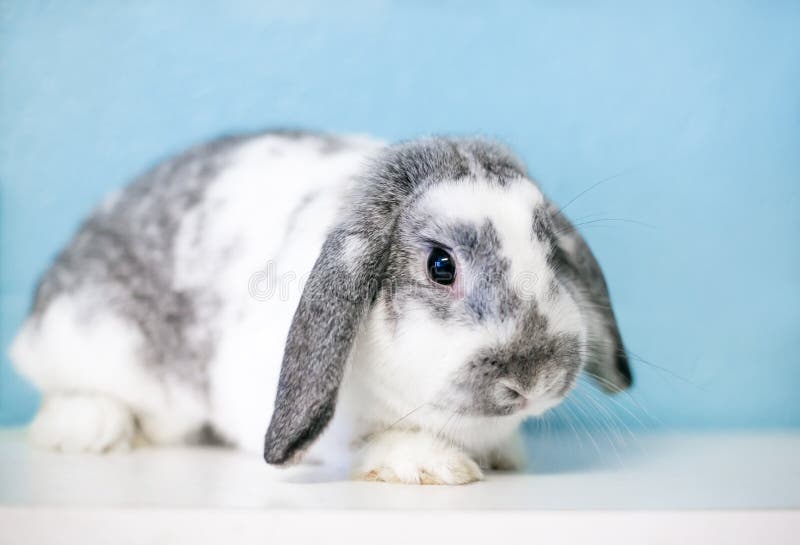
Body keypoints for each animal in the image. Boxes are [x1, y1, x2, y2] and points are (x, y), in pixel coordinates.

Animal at [9, 130, 631, 484]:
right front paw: (429, 464)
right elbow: (357, 441)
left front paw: (504, 456)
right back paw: (89, 427)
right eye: (440, 265)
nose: (536, 377)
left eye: (551, 253)